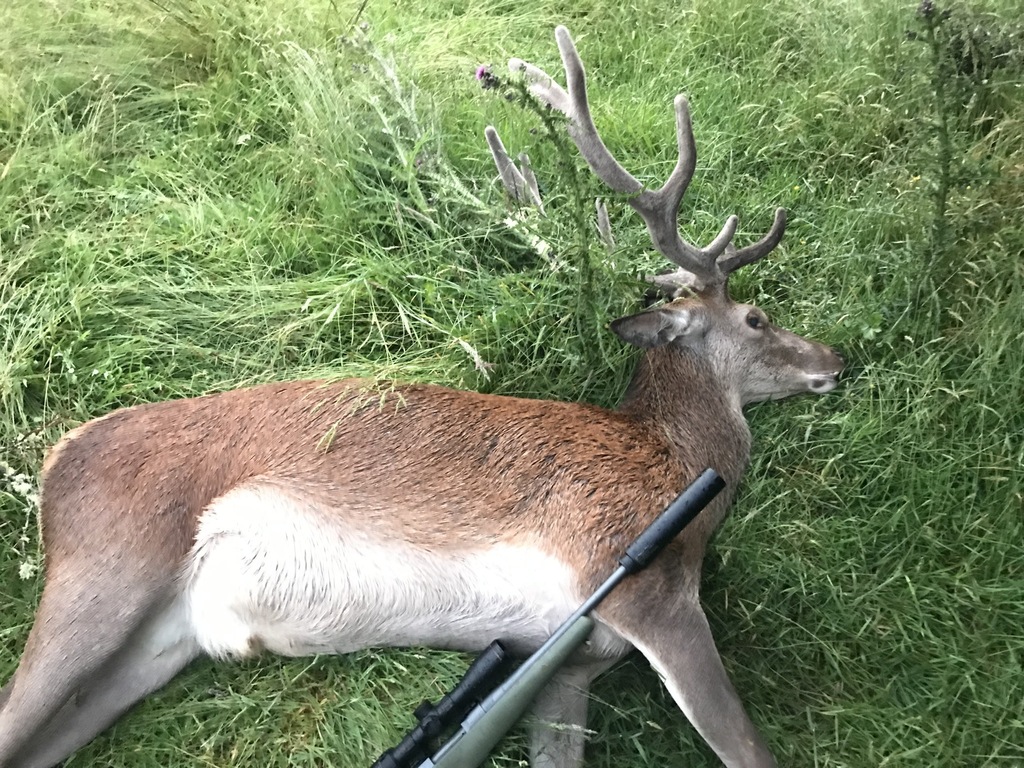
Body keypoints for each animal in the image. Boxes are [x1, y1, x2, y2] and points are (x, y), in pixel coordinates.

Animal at [0, 25, 843, 768]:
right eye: (756, 317)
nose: (834, 360)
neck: (669, 459)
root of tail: (55, 458)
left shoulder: (570, 664)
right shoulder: (636, 582)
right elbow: (747, 749)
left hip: (158, 641)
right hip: (105, 569)